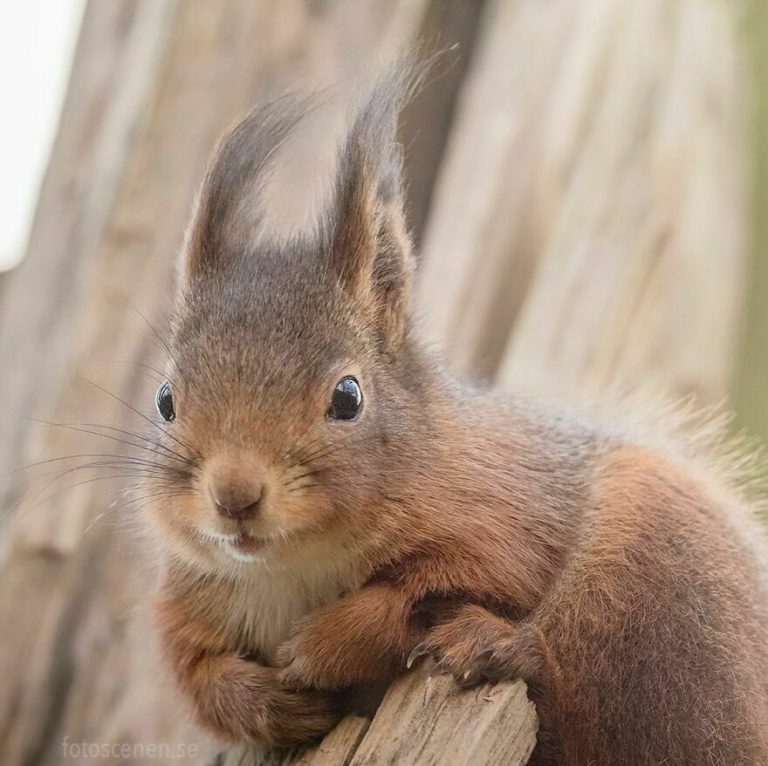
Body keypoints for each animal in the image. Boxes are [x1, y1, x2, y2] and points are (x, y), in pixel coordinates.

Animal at [143, 65, 768, 765]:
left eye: (348, 397)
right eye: (166, 399)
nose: (234, 496)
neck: (297, 567)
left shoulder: (505, 520)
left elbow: (416, 594)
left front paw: (320, 648)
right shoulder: (192, 600)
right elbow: (197, 675)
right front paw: (268, 702)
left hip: (652, 570)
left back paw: (493, 646)